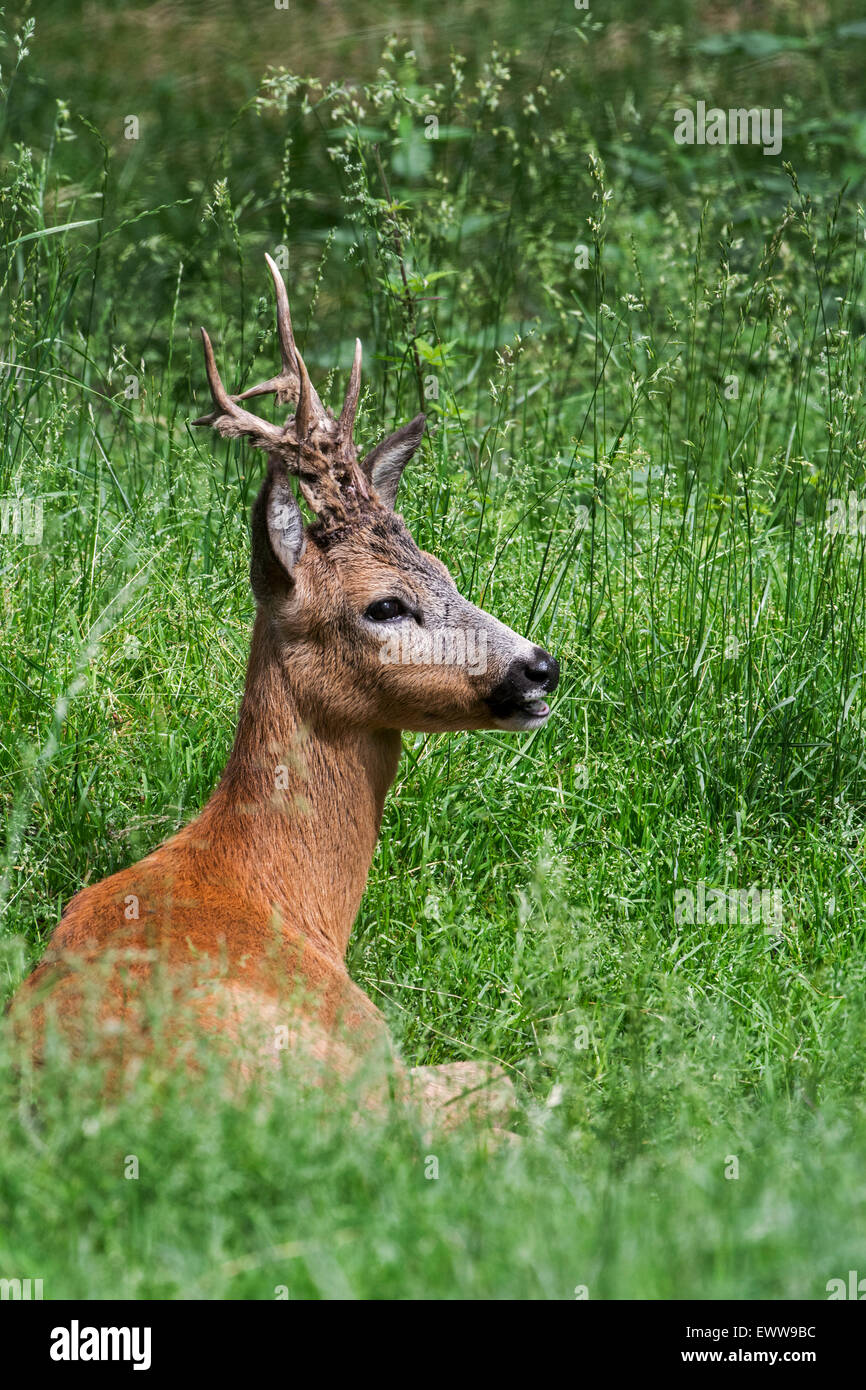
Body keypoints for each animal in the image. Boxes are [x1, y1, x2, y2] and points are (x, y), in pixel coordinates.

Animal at [9, 255, 559, 1130]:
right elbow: (499, 1074)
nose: (540, 667)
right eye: (385, 605)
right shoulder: (376, 1061)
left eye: (445, 571)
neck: (288, 899)